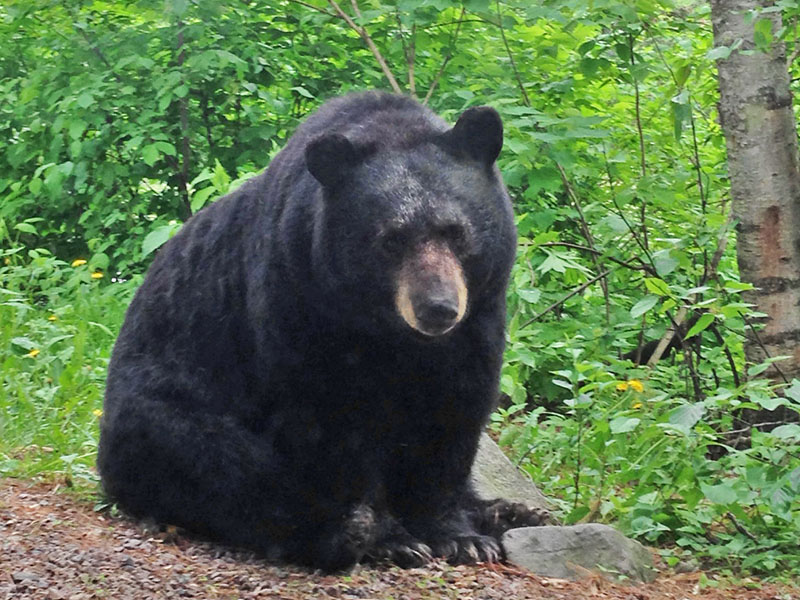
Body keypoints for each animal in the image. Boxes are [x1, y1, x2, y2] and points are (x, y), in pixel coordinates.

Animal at [97, 91, 544, 572]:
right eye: (391, 239)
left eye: (456, 232)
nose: (437, 308)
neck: (388, 331)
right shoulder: (303, 303)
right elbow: (331, 425)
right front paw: (392, 538)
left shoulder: (477, 320)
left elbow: (453, 417)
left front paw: (461, 536)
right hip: (160, 402)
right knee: (213, 459)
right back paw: (341, 533)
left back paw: (512, 511)